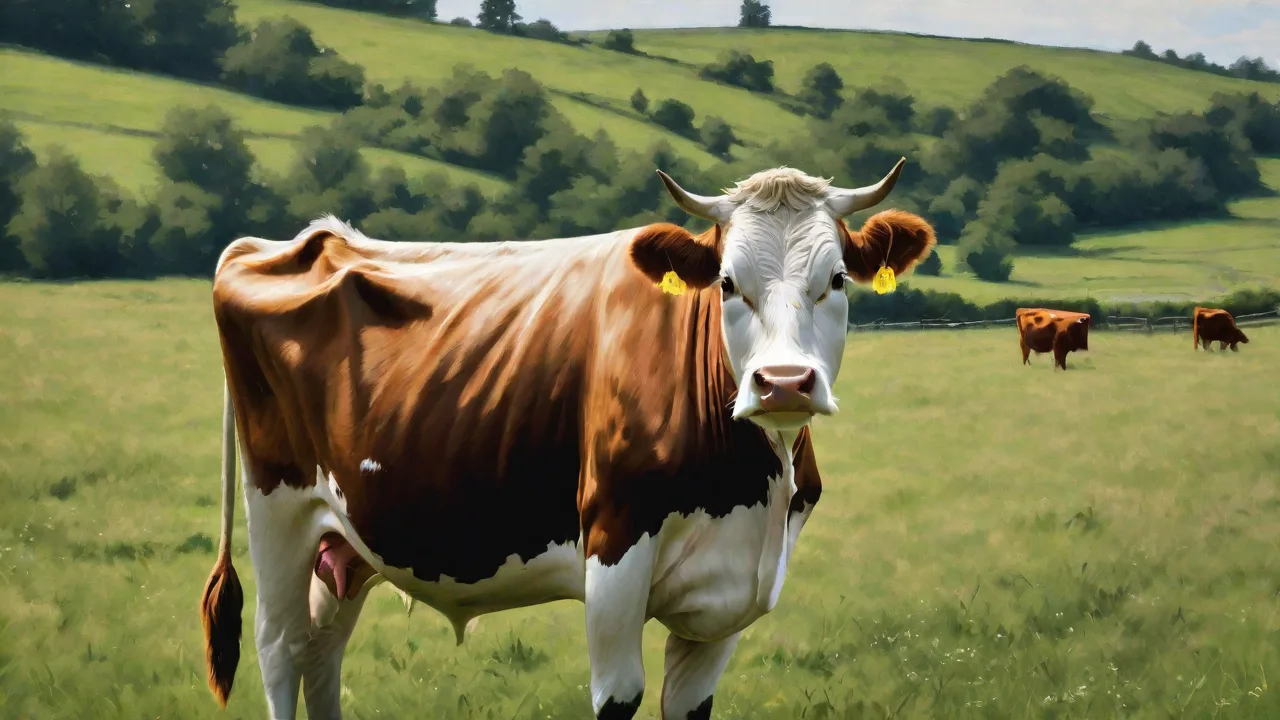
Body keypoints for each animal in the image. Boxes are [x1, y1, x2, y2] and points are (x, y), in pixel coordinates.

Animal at [200, 158, 937, 720]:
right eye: (728, 283)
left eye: (836, 279)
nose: (783, 383)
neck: (751, 493)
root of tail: (289, 241)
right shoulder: (614, 547)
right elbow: (619, 697)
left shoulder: (728, 597)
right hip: (279, 510)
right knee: (279, 650)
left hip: (346, 539)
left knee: (321, 653)